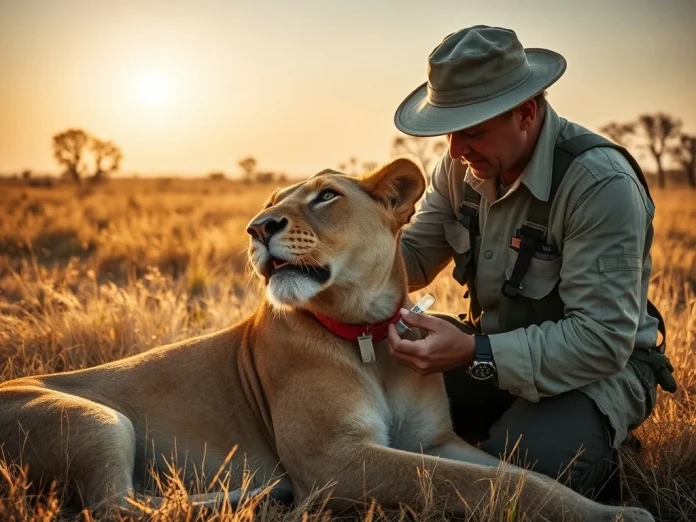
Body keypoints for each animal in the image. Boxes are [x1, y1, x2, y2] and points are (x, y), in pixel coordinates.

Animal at [0, 158, 653, 521]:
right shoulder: (333, 459)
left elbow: (523, 474)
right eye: (268, 206)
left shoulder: (436, 440)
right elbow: (482, 482)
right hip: (94, 419)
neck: (368, 333)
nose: (257, 228)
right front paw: (619, 515)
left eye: (326, 196)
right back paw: (252, 496)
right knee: (114, 506)